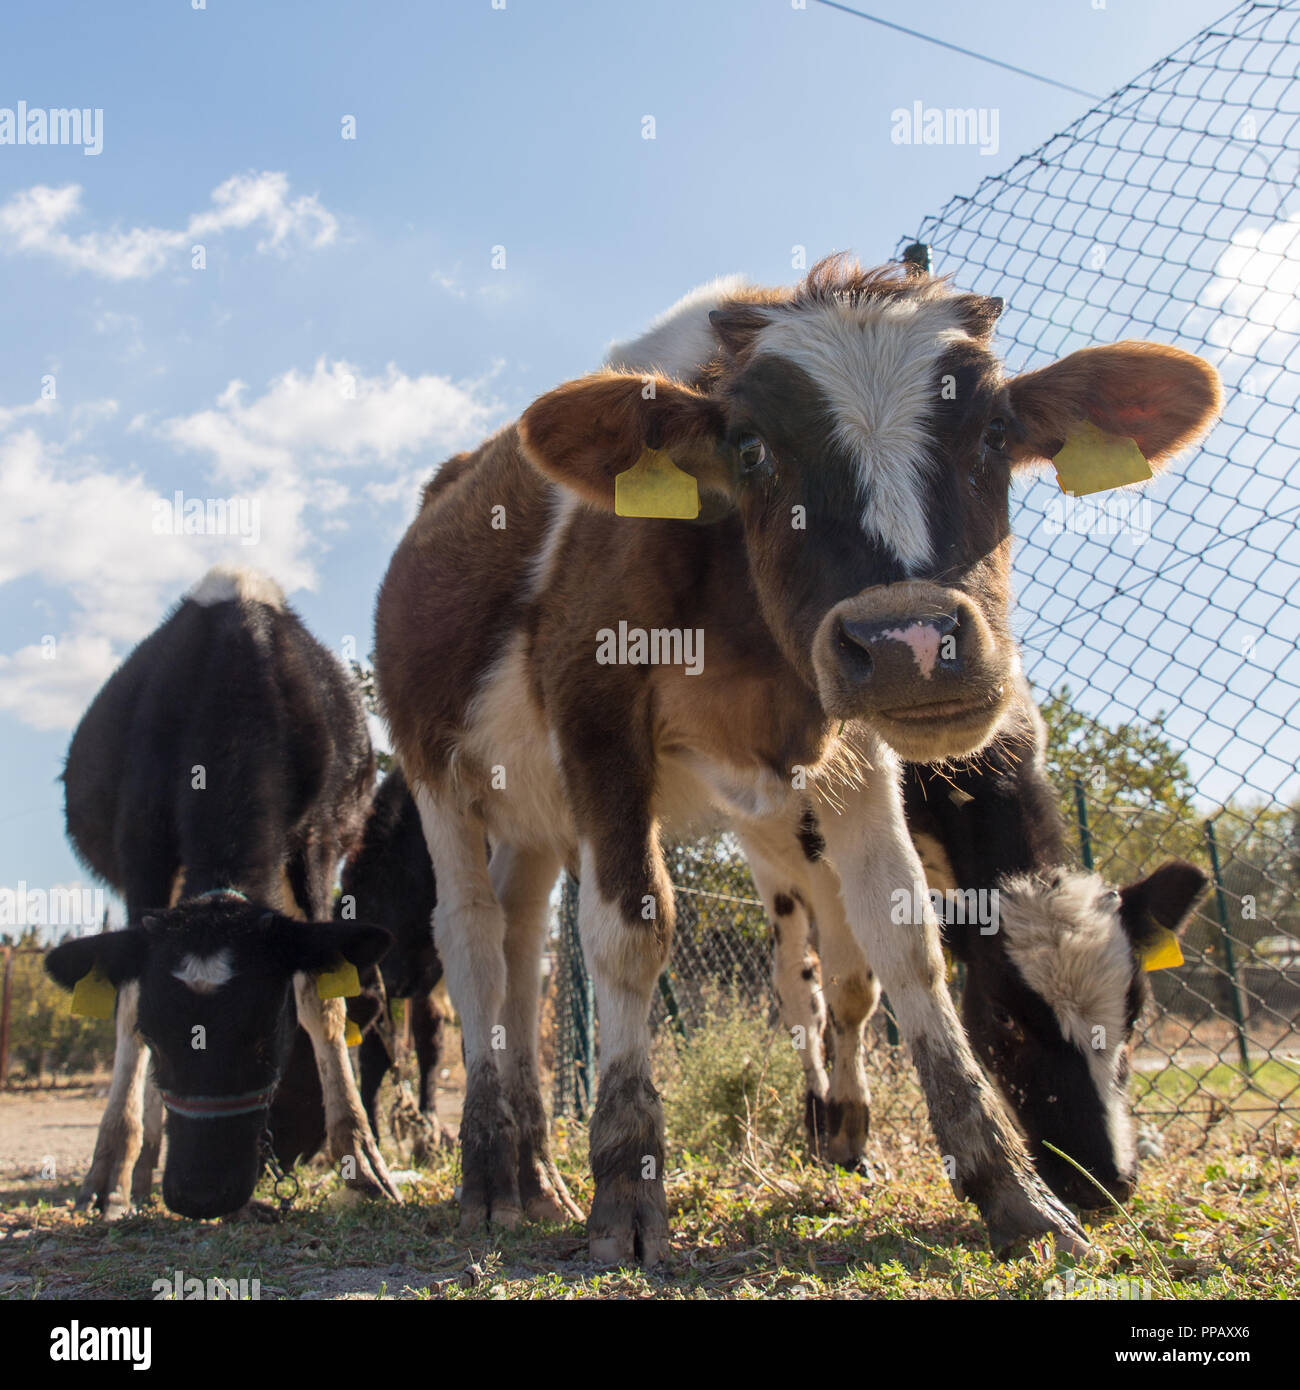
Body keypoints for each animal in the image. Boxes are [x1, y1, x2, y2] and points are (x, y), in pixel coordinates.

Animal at [45, 566, 398, 1218]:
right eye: (158, 1036)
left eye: (267, 1036)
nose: (202, 1195)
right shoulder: (141, 848)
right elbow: (127, 1001)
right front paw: (110, 1170)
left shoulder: (317, 844)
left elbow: (322, 999)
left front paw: (360, 1158)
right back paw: (140, 1168)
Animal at [374, 255, 1219, 1262]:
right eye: (750, 450)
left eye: (997, 428)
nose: (909, 641)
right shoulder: (600, 725)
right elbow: (634, 935)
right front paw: (626, 1189)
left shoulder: (848, 764)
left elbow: (896, 945)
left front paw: (1008, 1192)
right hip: (438, 770)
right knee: (471, 942)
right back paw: (487, 1170)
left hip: (538, 819)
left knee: (521, 946)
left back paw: (534, 1174)